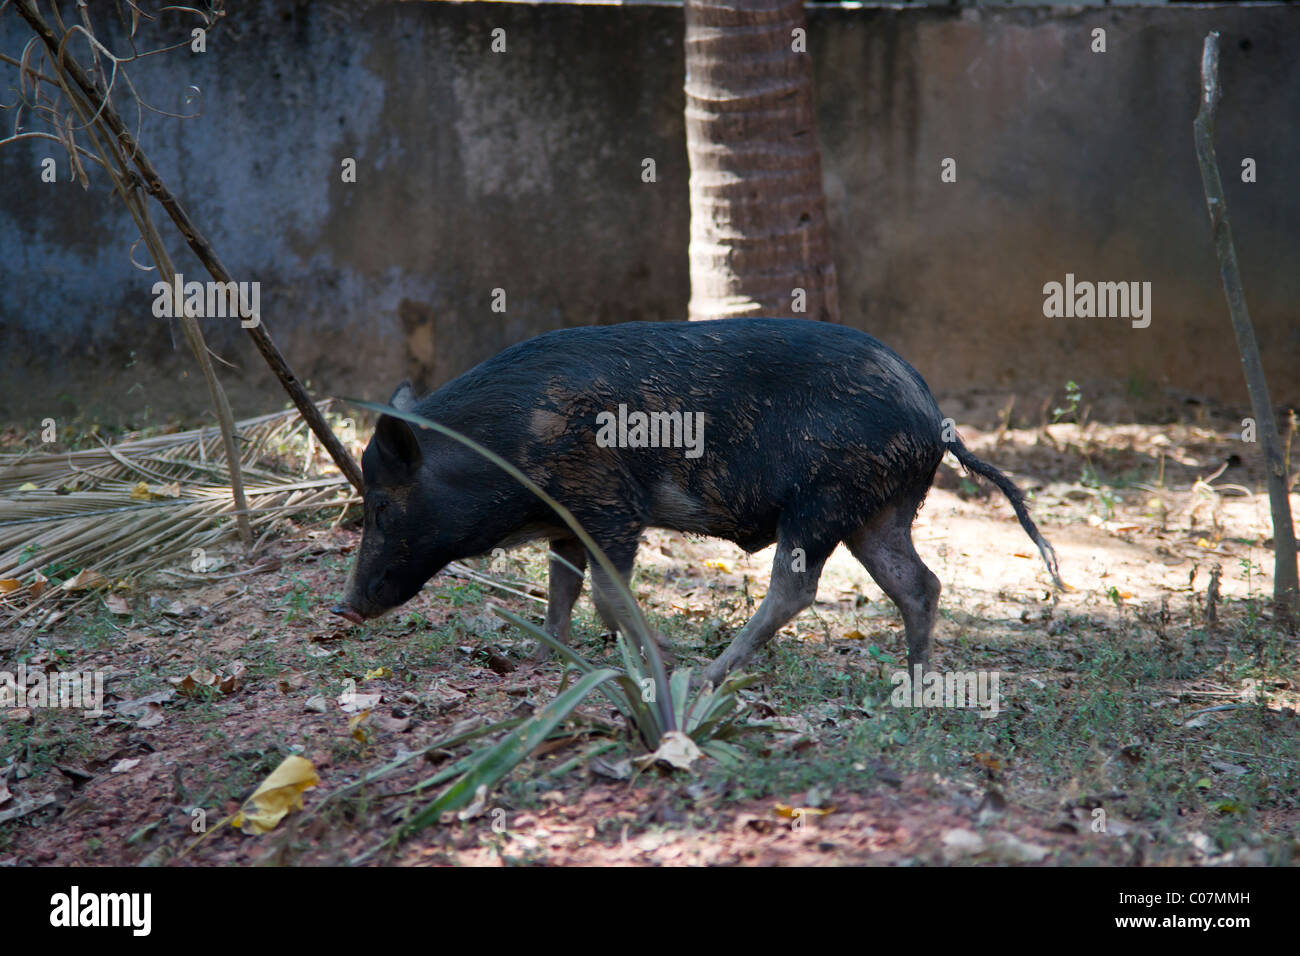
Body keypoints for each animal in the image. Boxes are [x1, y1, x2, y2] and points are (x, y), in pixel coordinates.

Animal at [332, 318, 1061, 686]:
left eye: (384, 507)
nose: (345, 606)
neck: (514, 446)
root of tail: (934, 416)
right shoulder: (567, 522)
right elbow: (561, 590)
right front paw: (537, 663)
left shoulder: (609, 504)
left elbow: (605, 595)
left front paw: (658, 663)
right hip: (875, 512)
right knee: (920, 584)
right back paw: (914, 684)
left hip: (822, 500)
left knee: (796, 591)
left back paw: (710, 676)